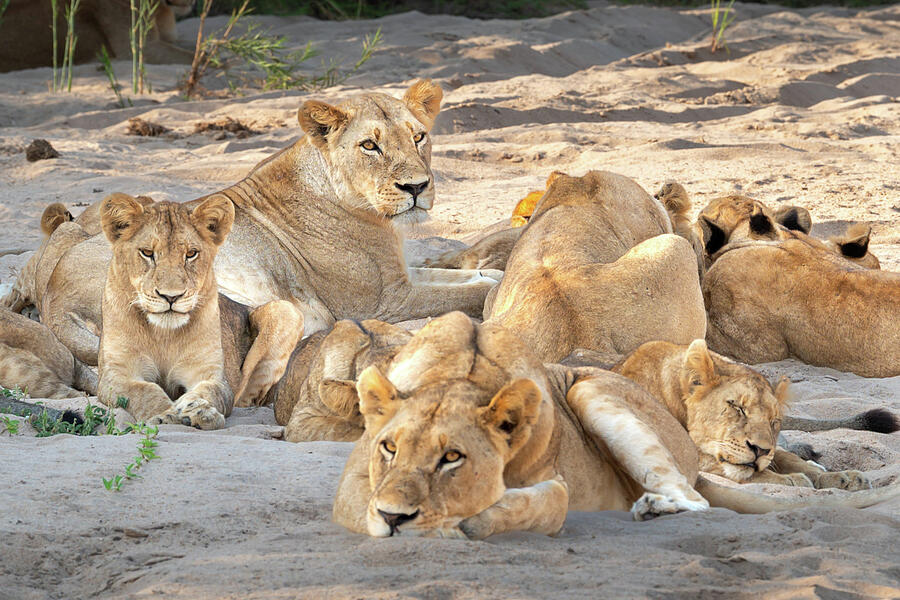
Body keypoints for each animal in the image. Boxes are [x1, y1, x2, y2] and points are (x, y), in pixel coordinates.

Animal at [5, 81, 500, 366]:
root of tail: (53, 298)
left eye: (419, 136)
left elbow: (474, 276)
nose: (417, 187)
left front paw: (491, 273)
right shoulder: (386, 301)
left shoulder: (402, 277)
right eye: (369, 146)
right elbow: (470, 295)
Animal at [612, 339, 873, 490]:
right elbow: (733, 468)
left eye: (774, 421)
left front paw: (842, 478)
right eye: (736, 406)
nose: (759, 450)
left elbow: (787, 458)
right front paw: (790, 480)